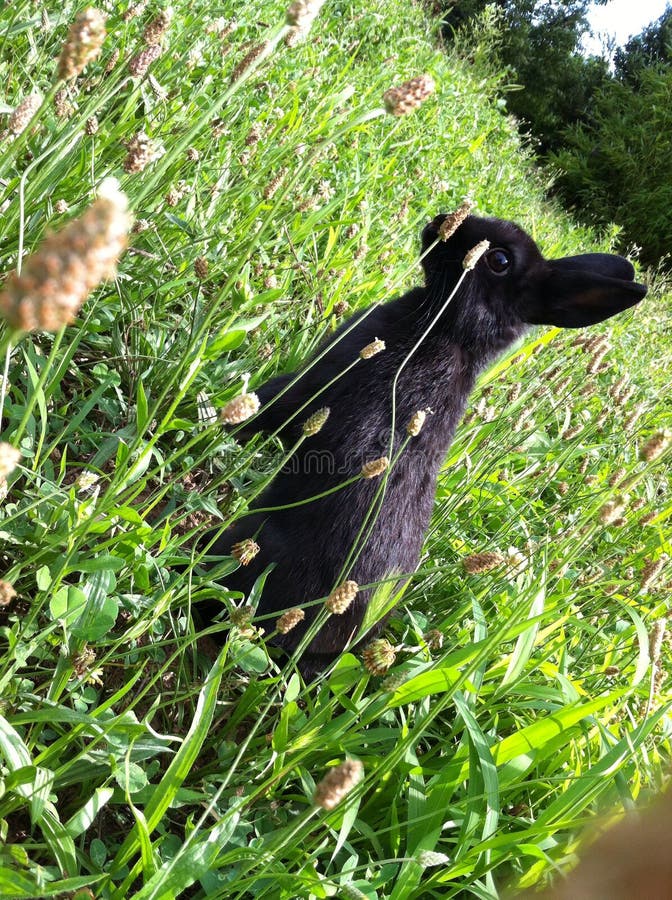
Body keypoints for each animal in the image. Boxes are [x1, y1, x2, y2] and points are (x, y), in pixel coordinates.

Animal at [200, 213, 647, 679]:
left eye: (499, 260)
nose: (440, 221)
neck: (447, 329)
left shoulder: (308, 388)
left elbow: (270, 406)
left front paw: (208, 414)